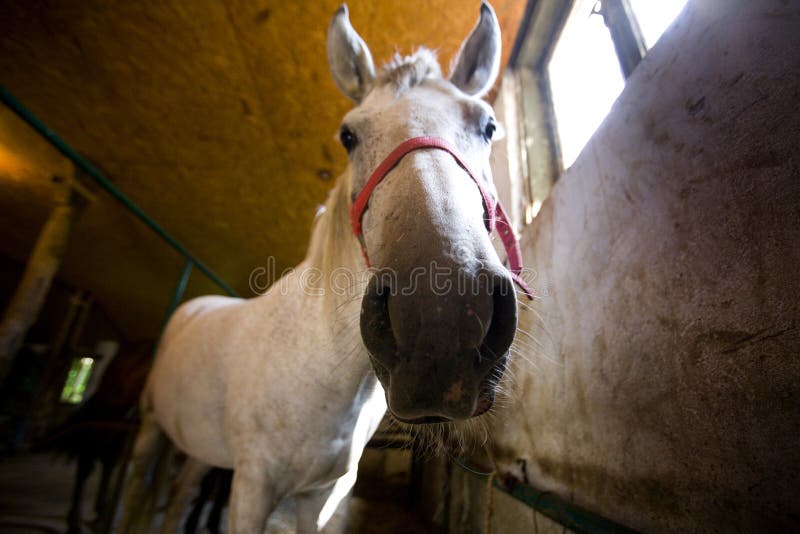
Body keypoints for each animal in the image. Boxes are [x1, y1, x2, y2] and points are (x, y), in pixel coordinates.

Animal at [119, 2, 528, 532]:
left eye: (489, 126)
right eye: (348, 135)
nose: (442, 319)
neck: (324, 372)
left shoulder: (323, 497)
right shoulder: (252, 487)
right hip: (151, 429)